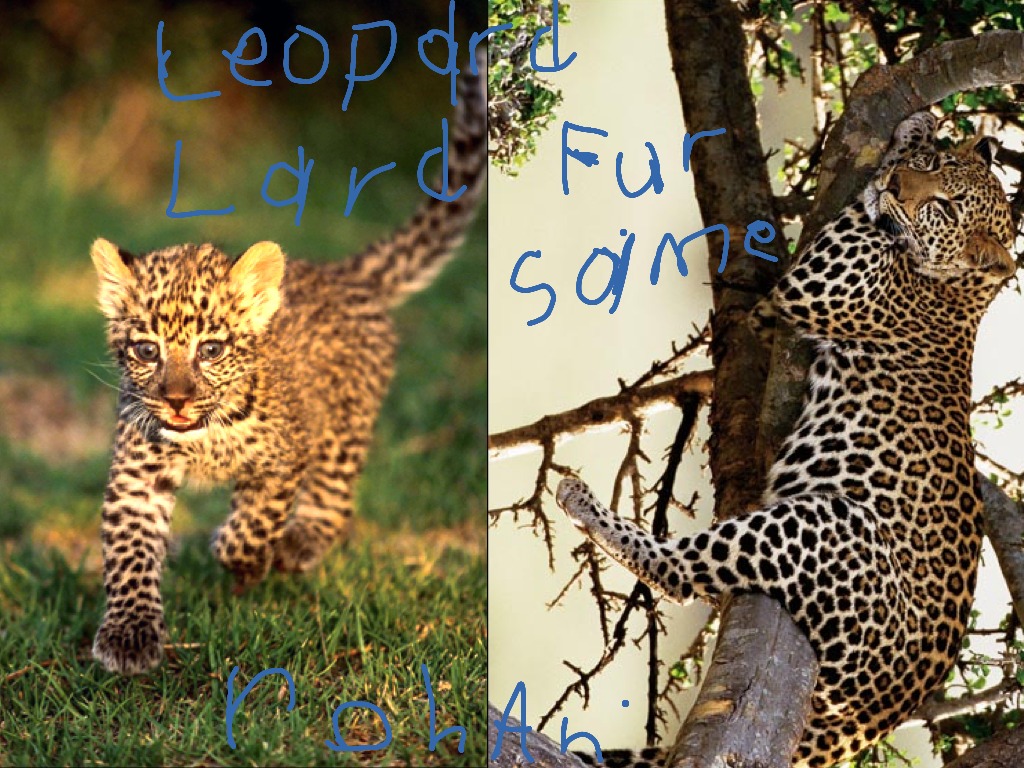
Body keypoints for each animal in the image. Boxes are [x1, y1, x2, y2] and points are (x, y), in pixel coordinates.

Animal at [89, 62, 485, 676]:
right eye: (147, 350)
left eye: (211, 349)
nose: (177, 400)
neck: (204, 436)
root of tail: (347, 275)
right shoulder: (138, 476)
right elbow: (130, 552)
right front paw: (129, 634)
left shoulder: (284, 459)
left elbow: (254, 524)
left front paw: (243, 560)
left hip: (342, 430)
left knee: (335, 499)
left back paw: (298, 544)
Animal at [556, 111, 1017, 767]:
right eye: (933, 170)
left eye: (946, 207)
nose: (898, 185)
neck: (967, 293)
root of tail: (863, 726)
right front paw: (916, 128)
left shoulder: (828, 279)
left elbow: (856, 226)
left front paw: (898, 149)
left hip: (834, 529)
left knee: (681, 573)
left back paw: (587, 507)